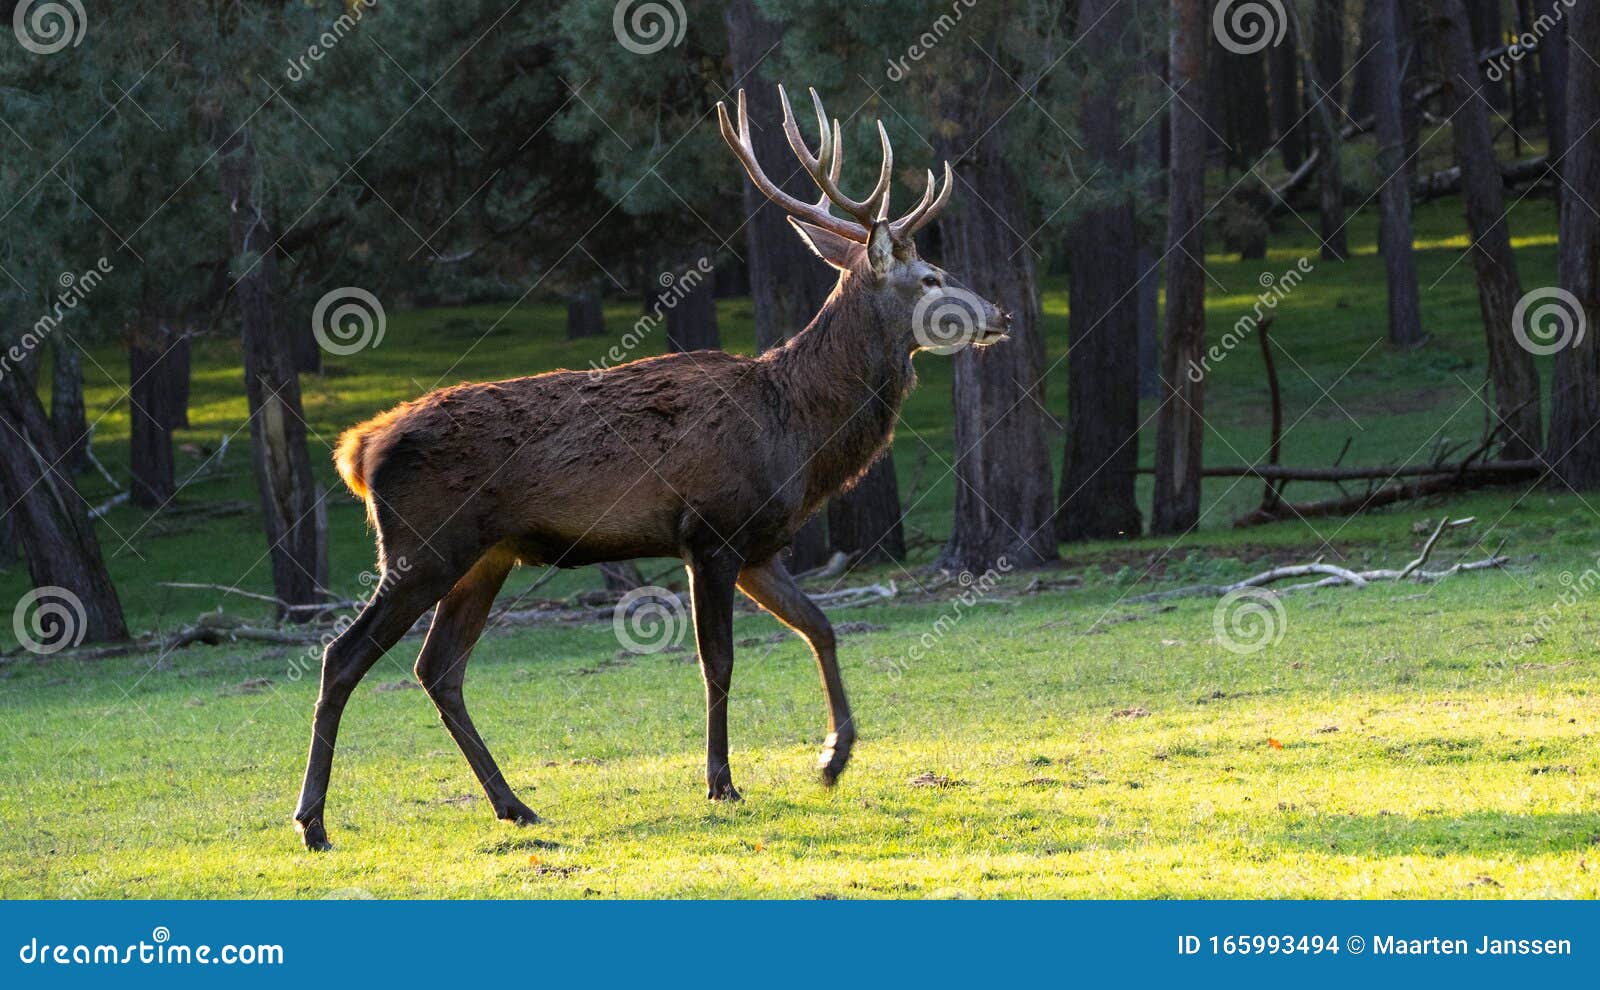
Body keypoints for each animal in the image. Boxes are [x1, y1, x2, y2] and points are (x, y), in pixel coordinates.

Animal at [292, 86, 1010, 850]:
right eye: (931, 276)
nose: (1000, 313)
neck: (797, 432)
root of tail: (359, 449)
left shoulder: (761, 546)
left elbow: (820, 625)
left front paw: (834, 756)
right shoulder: (711, 532)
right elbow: (718, 661)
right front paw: (722, 782)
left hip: (485, 555)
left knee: (439, 668)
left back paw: (514, 804)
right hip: (424, 544)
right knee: (342, 656)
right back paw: (313, 822)